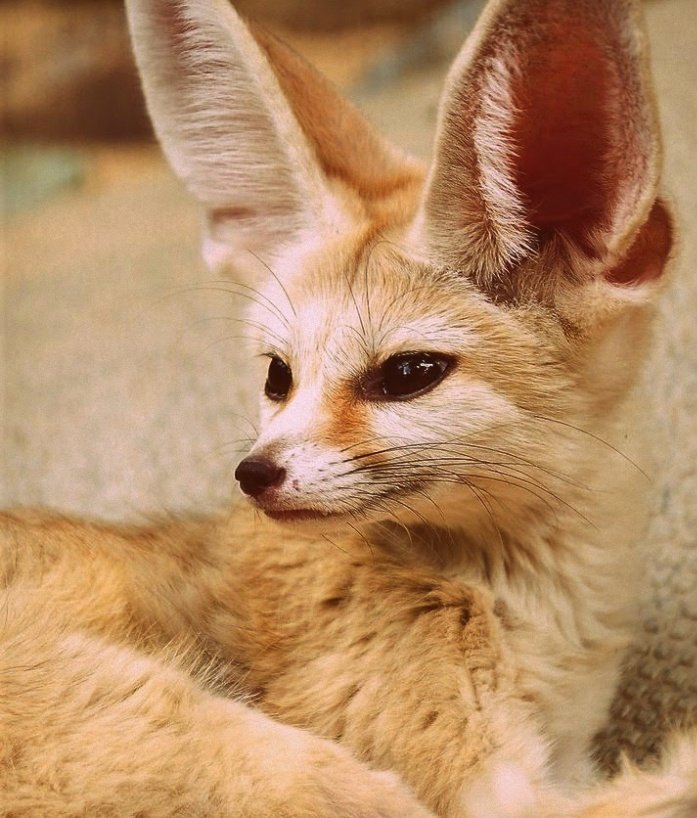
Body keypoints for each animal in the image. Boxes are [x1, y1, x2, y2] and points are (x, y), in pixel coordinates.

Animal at [2, 0, 695, 815]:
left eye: (408, 375)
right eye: (279, 376)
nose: (254, 473)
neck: (534, 608)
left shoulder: (560, 765)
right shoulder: (493, 790)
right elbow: (660, 784)